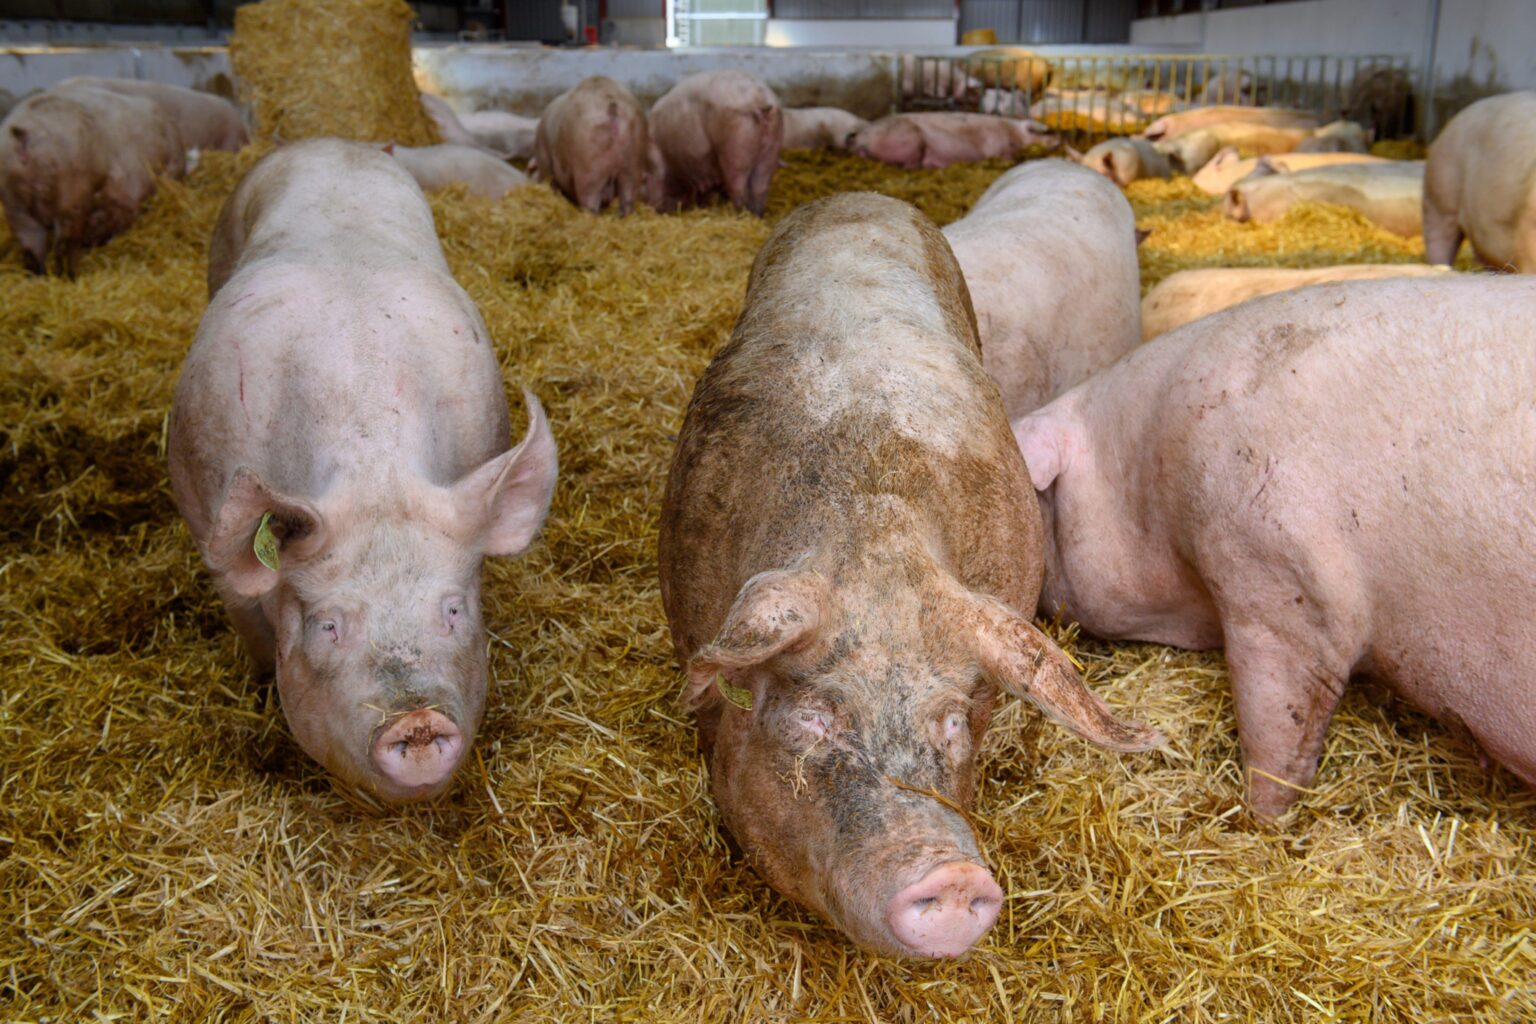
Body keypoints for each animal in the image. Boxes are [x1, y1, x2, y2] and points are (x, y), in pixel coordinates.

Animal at [0, 80, 185, 275]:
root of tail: (24, 136)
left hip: (15, 206)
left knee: (31, 249)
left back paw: (41, 276)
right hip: (70, 198)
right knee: (65, 244)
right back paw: (70, 275)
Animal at [532, 76, 648, 214]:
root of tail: (611, 109)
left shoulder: (545, 162)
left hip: (590, 171)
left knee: (590, 204)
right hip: (632, 166)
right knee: (627, 200)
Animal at [646, 70, 782, 216]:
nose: (661, 210)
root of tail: (757, 98)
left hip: (735, 152)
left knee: (739, 188)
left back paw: (739, 214)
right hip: (771, 150)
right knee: (760, 187)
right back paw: (756, 215)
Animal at [850, 112, 1056, 170]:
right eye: (1038, 131)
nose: (1058, 139)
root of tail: (862, 136)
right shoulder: (994, 147)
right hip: (910, 139)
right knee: (909, 165)